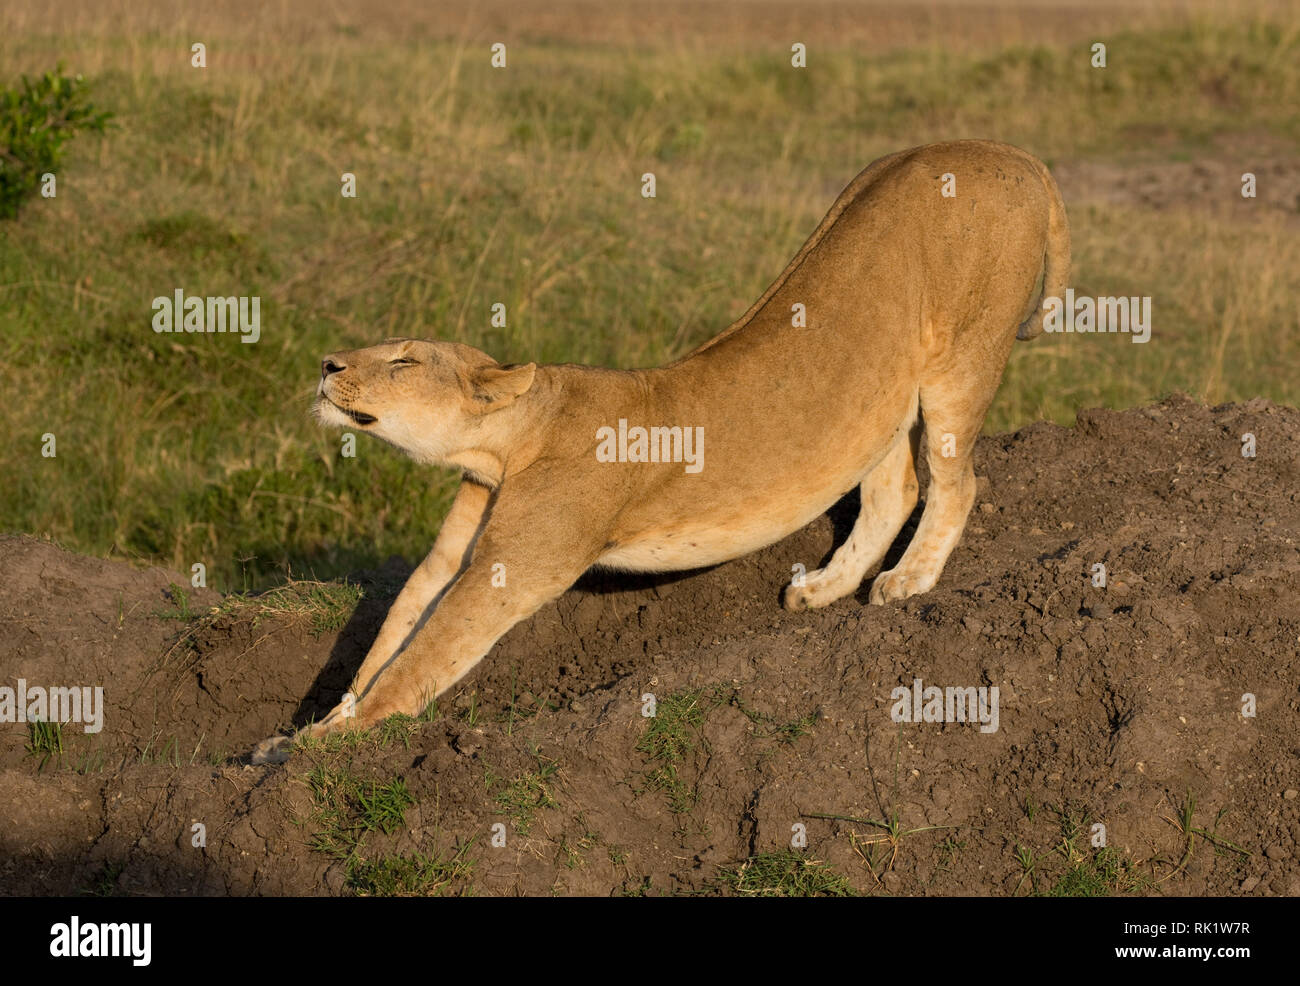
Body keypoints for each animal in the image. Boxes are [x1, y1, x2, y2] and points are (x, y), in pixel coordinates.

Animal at [251, 139, 1069, 764]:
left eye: (403, 361)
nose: (326, 363)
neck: (510, 442)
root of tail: (1004, 149)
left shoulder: (507, 574)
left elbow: (418, 660)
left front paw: (330, 746)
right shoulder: (456, 548)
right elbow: (395, 630)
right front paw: (307, 730)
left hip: (960, 361)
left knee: (957, 481)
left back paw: (908, 582)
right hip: (880, 396)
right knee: (892, 488)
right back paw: (824, 590)